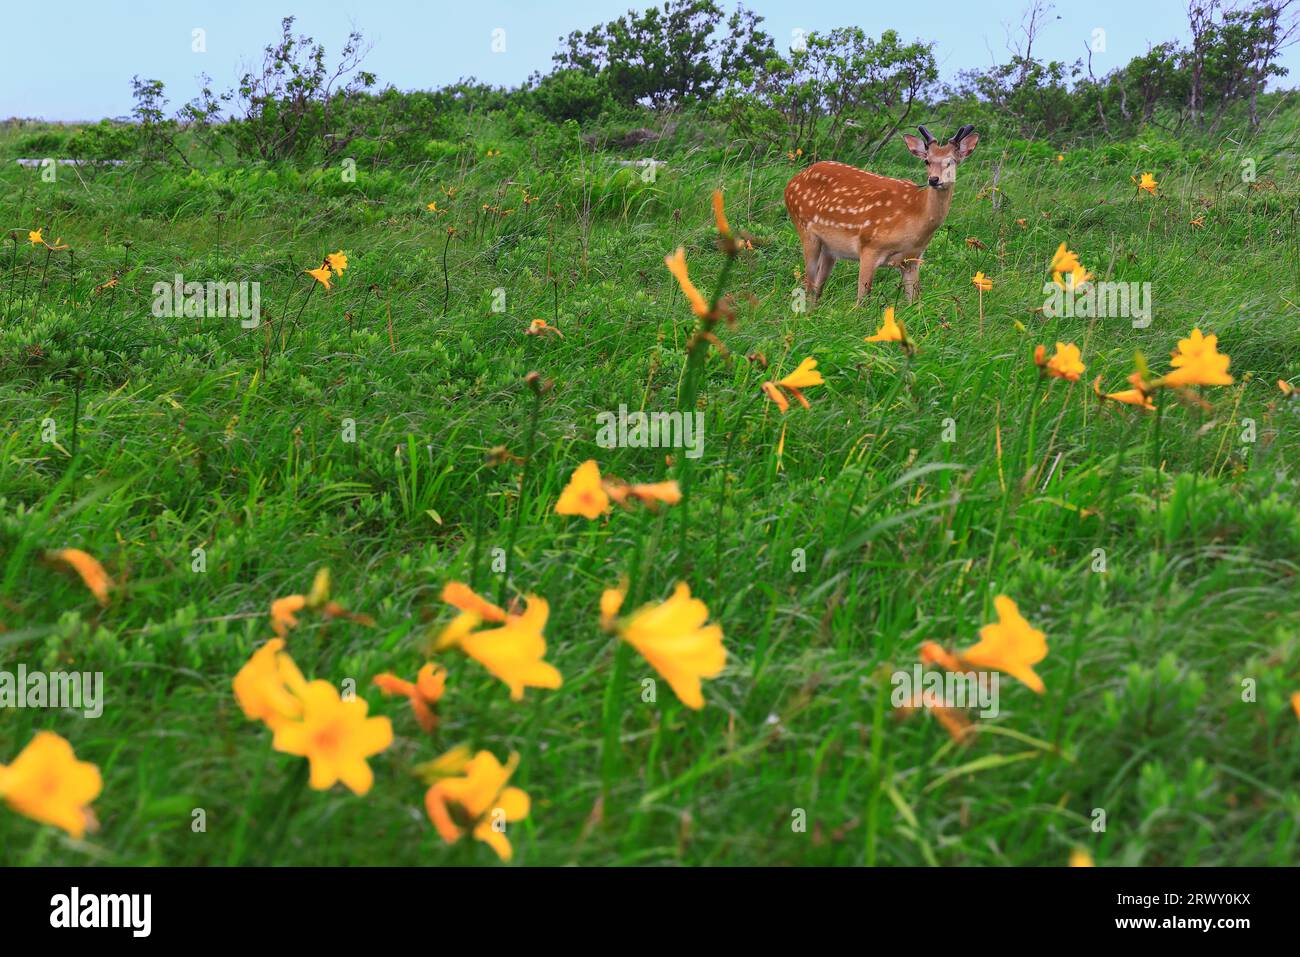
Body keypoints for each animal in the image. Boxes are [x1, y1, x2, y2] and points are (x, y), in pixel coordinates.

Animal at [784, 125, 979, 309]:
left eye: (952, 161)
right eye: (926, 161)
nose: (934, 180)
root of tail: (791, 183)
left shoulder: (913, 259)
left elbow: (915, 303)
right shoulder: (869, 246)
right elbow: (862, 301)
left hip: (830, 249)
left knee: (818, 287)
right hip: (805, 230)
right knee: (809, 282)